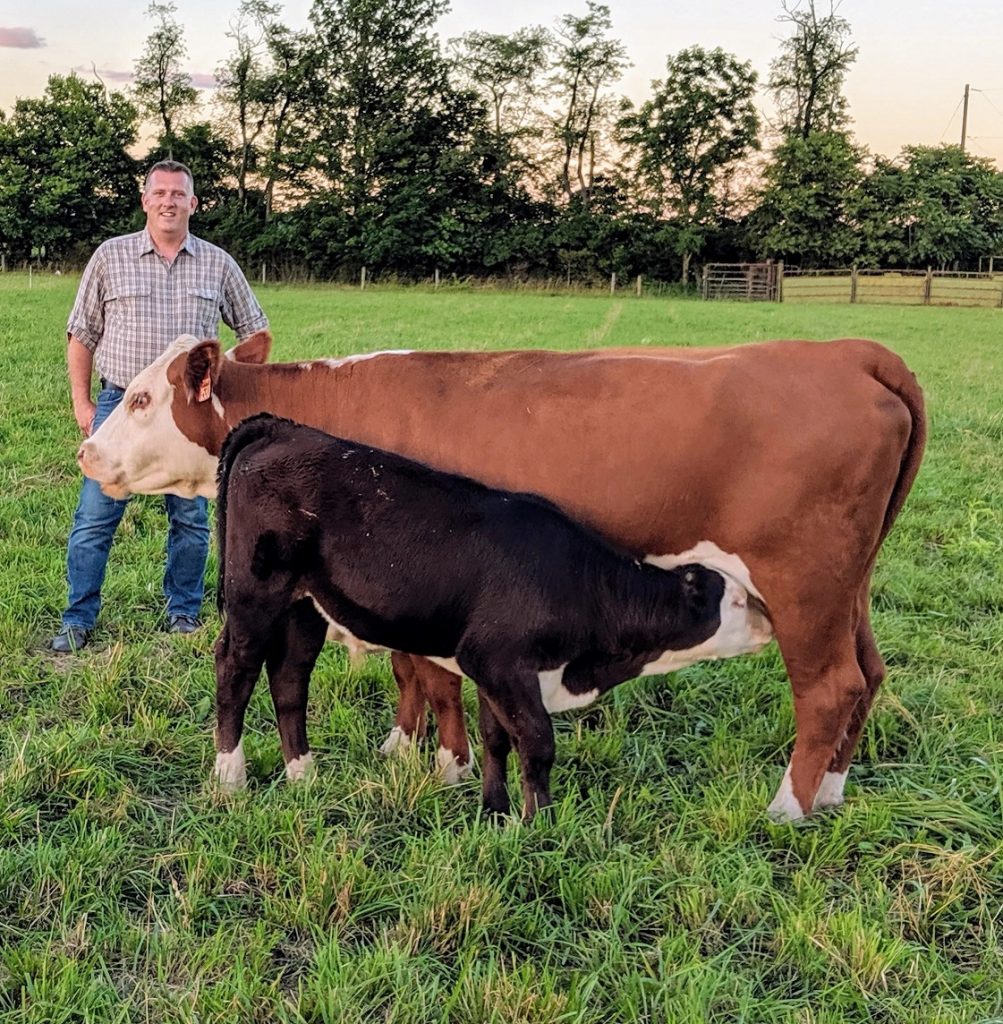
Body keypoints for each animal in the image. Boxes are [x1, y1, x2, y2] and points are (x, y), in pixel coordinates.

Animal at [213, 413, 772, 818]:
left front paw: (495, 811)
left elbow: (496, 739)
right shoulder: (502, 662)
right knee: (235, 670)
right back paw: (229, 777)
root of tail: (283, 427)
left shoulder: (490, 667)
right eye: (737, 600)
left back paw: (303, 775)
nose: (770, 622)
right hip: (255, 596)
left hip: (306, 606)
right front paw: (540, 822)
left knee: (289, 679)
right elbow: (538, 742)